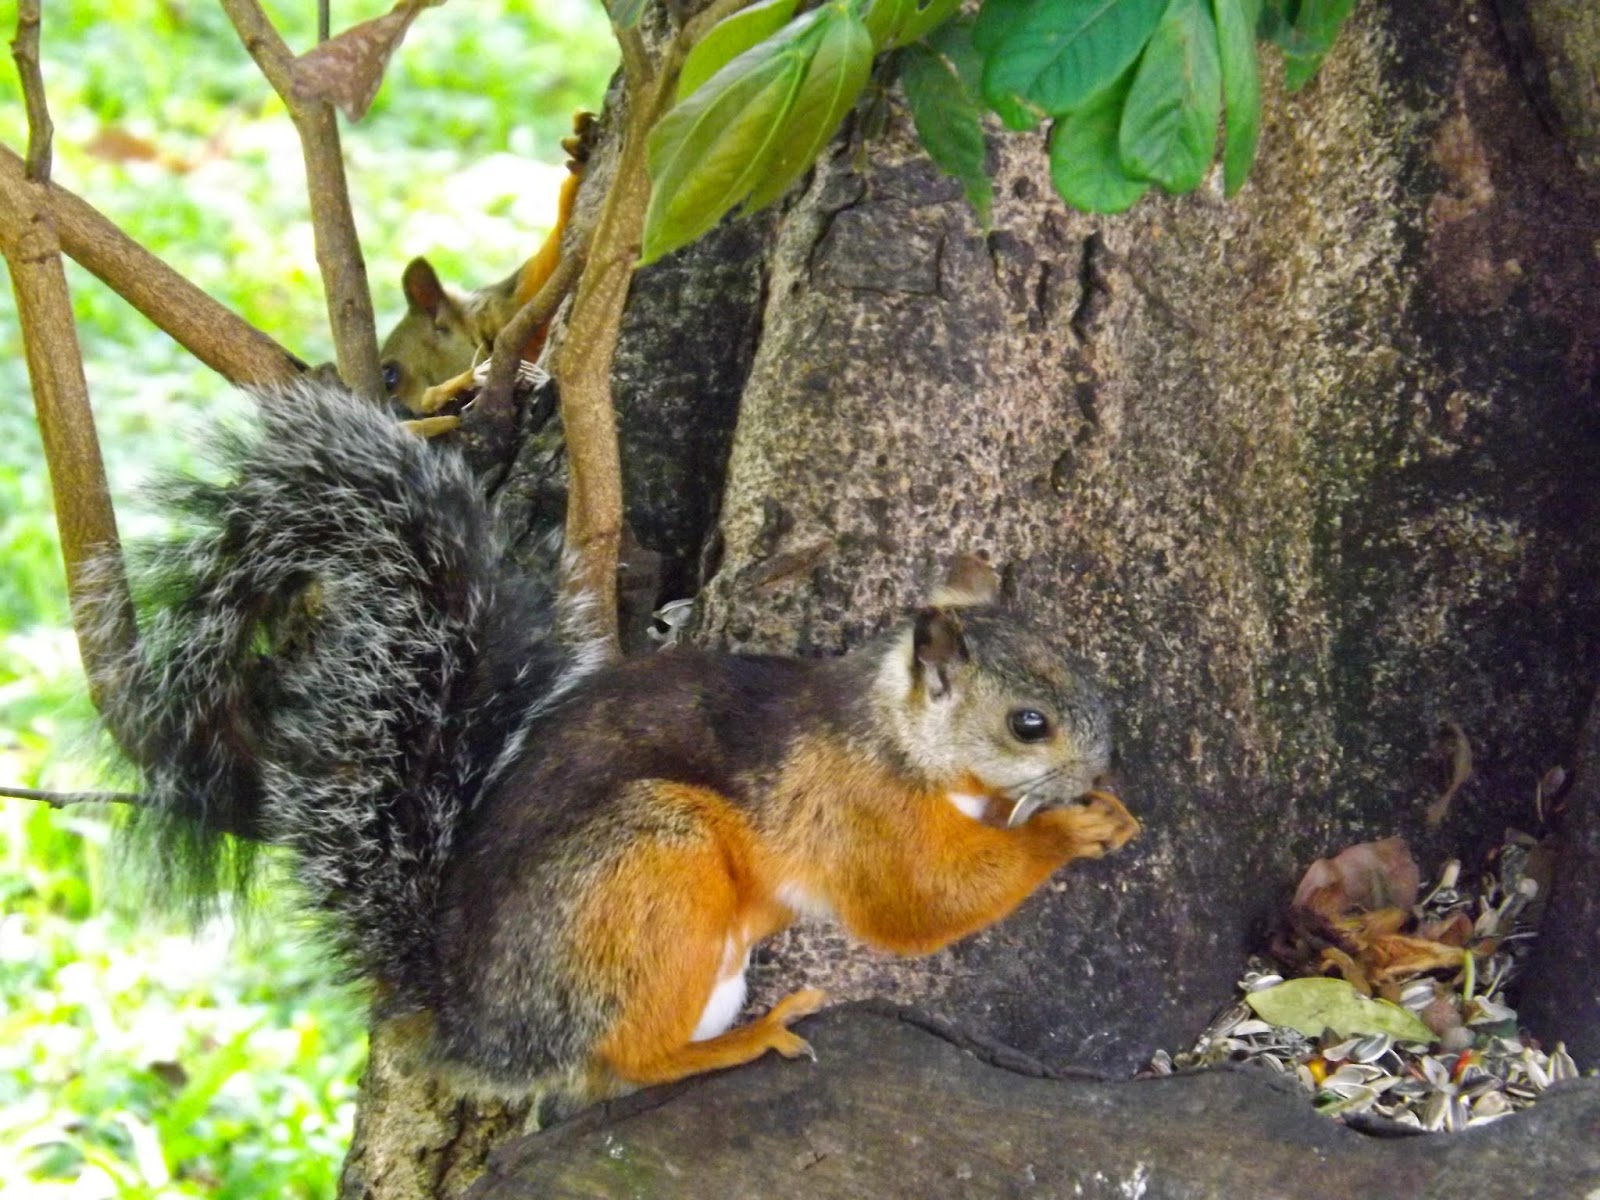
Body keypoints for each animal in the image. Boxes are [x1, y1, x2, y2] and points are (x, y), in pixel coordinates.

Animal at [104, 383, 1139, 1102]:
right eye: (1029, 723)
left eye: (1083, 670)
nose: (1099, 767)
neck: (896, 731)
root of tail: (477, 1027)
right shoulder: (854, 807)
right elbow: (915, 905)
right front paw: (1069, 830)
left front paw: (1105, 809)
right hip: (651, 861)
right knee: (626, 1065)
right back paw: (741, 1043)